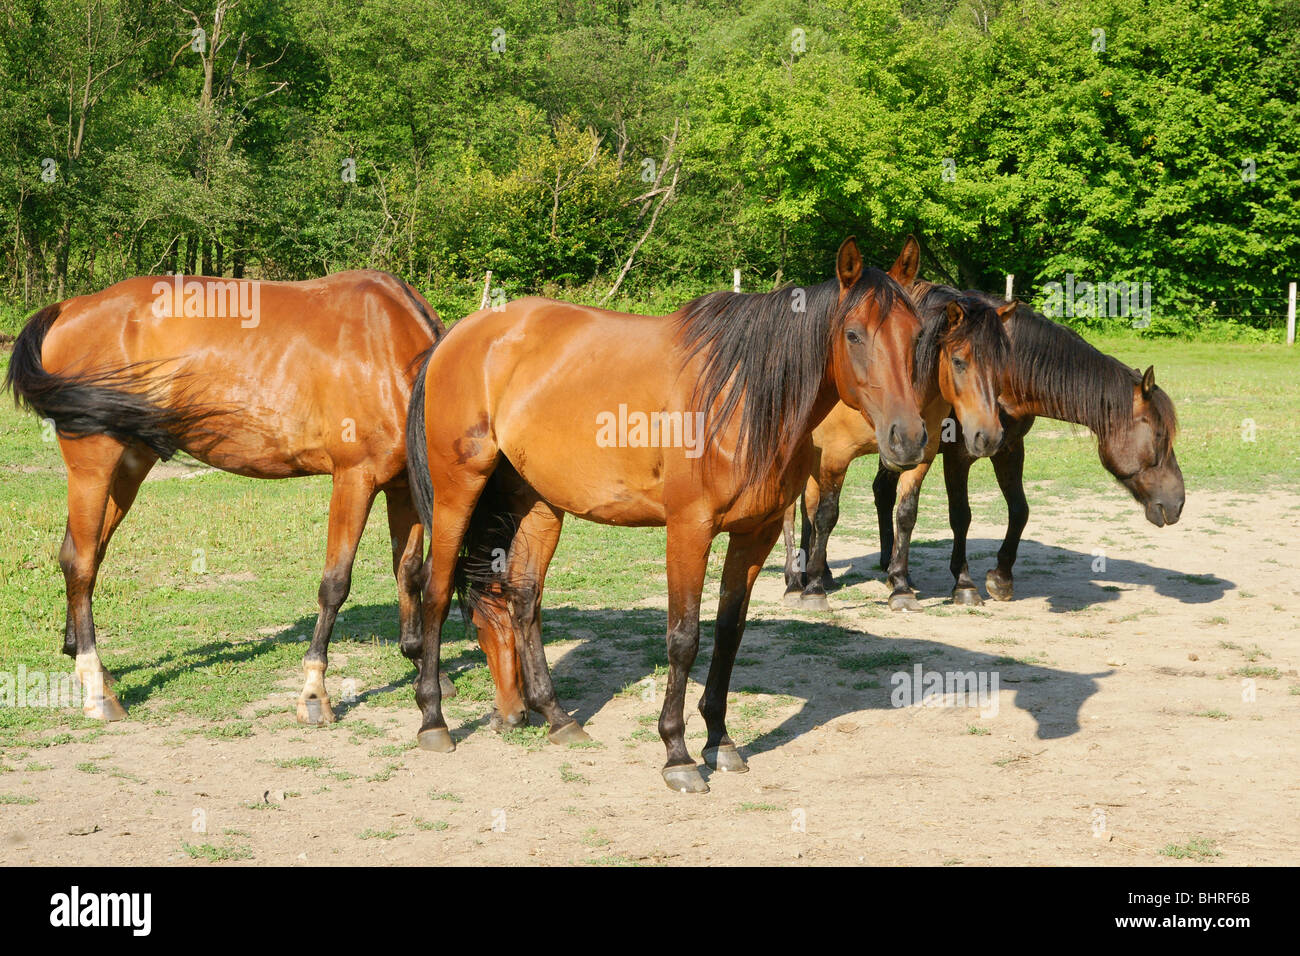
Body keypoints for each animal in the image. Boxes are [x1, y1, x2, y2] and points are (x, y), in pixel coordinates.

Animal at [3, 270, 452, 725]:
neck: (388, 355)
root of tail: (70, 307)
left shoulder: (403, 489)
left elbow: (408, 572)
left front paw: (420, 661)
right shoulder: (354, 479)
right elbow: (336, 584)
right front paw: (314, 691)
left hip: (129, 464)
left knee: (81, 554)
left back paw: (83, 660)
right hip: (93, 466)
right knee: (80, 564)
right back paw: (97, 687)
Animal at [405, 237, 930, 792]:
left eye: (916, 334)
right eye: (853, 334)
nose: (908, 438)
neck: (740, 397)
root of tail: (458, 335)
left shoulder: (756, 534)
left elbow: (728, 634)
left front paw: (720, 741)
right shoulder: (689, 530)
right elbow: (683, 638)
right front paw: (677, 753)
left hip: (540, 503)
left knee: (524, 600)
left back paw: (557, 718)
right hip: (457, 493)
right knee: (436, 590)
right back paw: (434, 720)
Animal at [781, 290, 1015, 610]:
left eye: (1002, 364)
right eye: (958, 361)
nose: (989, 436)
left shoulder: (918, 457)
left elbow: (905, 515)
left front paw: (901, 586)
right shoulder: (836, 456)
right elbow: (827, 515)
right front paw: (814, 590)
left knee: (808, 506)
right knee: (791, 512)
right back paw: (795, 581)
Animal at [871, 284, 1183, 606]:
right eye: (1160, 436)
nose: (1178, 504)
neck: (1005, 377)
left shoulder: (1009, 449)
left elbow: (1020, 510)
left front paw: (1001, 577)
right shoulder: (957, 456)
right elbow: (961, 516)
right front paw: (964, 583)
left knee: (883, 491)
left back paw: (890, 566)